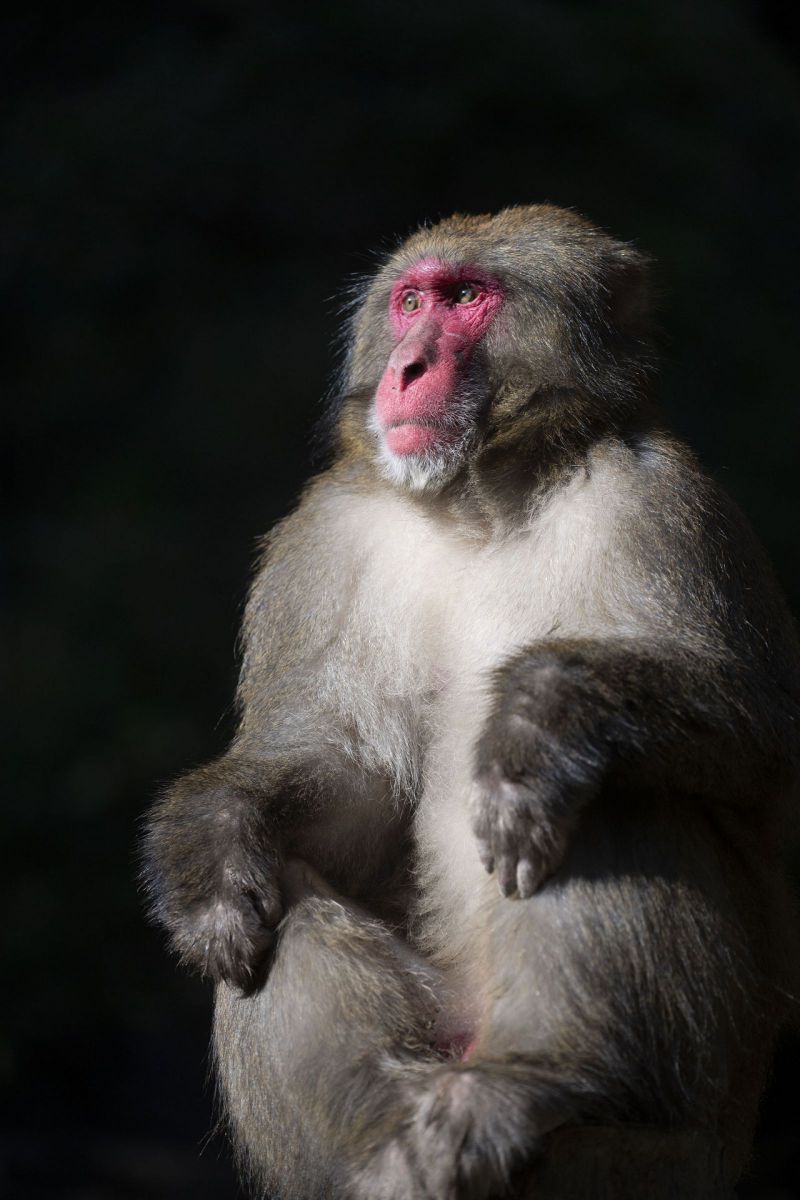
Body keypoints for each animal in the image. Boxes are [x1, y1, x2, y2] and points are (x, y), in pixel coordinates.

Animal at [143, 205, 800, 1199]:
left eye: (467, 298)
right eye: (412, 302)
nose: (410, 366)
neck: (479, 503)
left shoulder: (667, 506)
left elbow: (757, 746)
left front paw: (537, 727)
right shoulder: (321, 543)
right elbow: (347, 784)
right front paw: (212, 837)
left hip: (677, 1144)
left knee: (615, 789)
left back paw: (537, 1079)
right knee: (276, 898)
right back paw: (390, 1149)